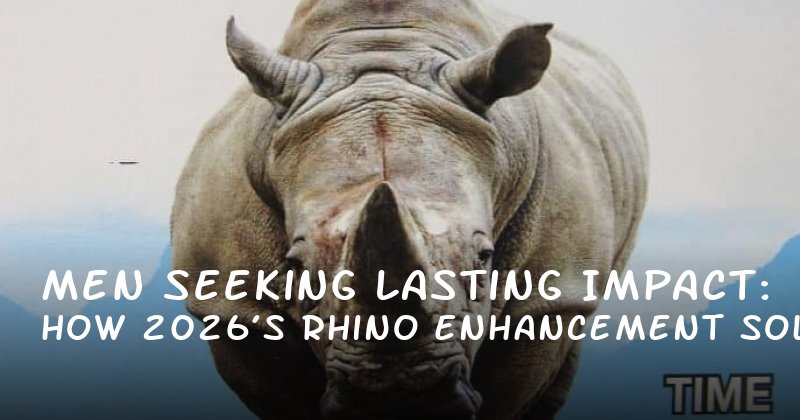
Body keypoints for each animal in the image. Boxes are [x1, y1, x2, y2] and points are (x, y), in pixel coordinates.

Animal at [171, 0, 648, 418]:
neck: (386, 52)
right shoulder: (234, 309)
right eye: (296, 267)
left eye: (485, 258)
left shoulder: (552, 299)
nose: (396, 391)